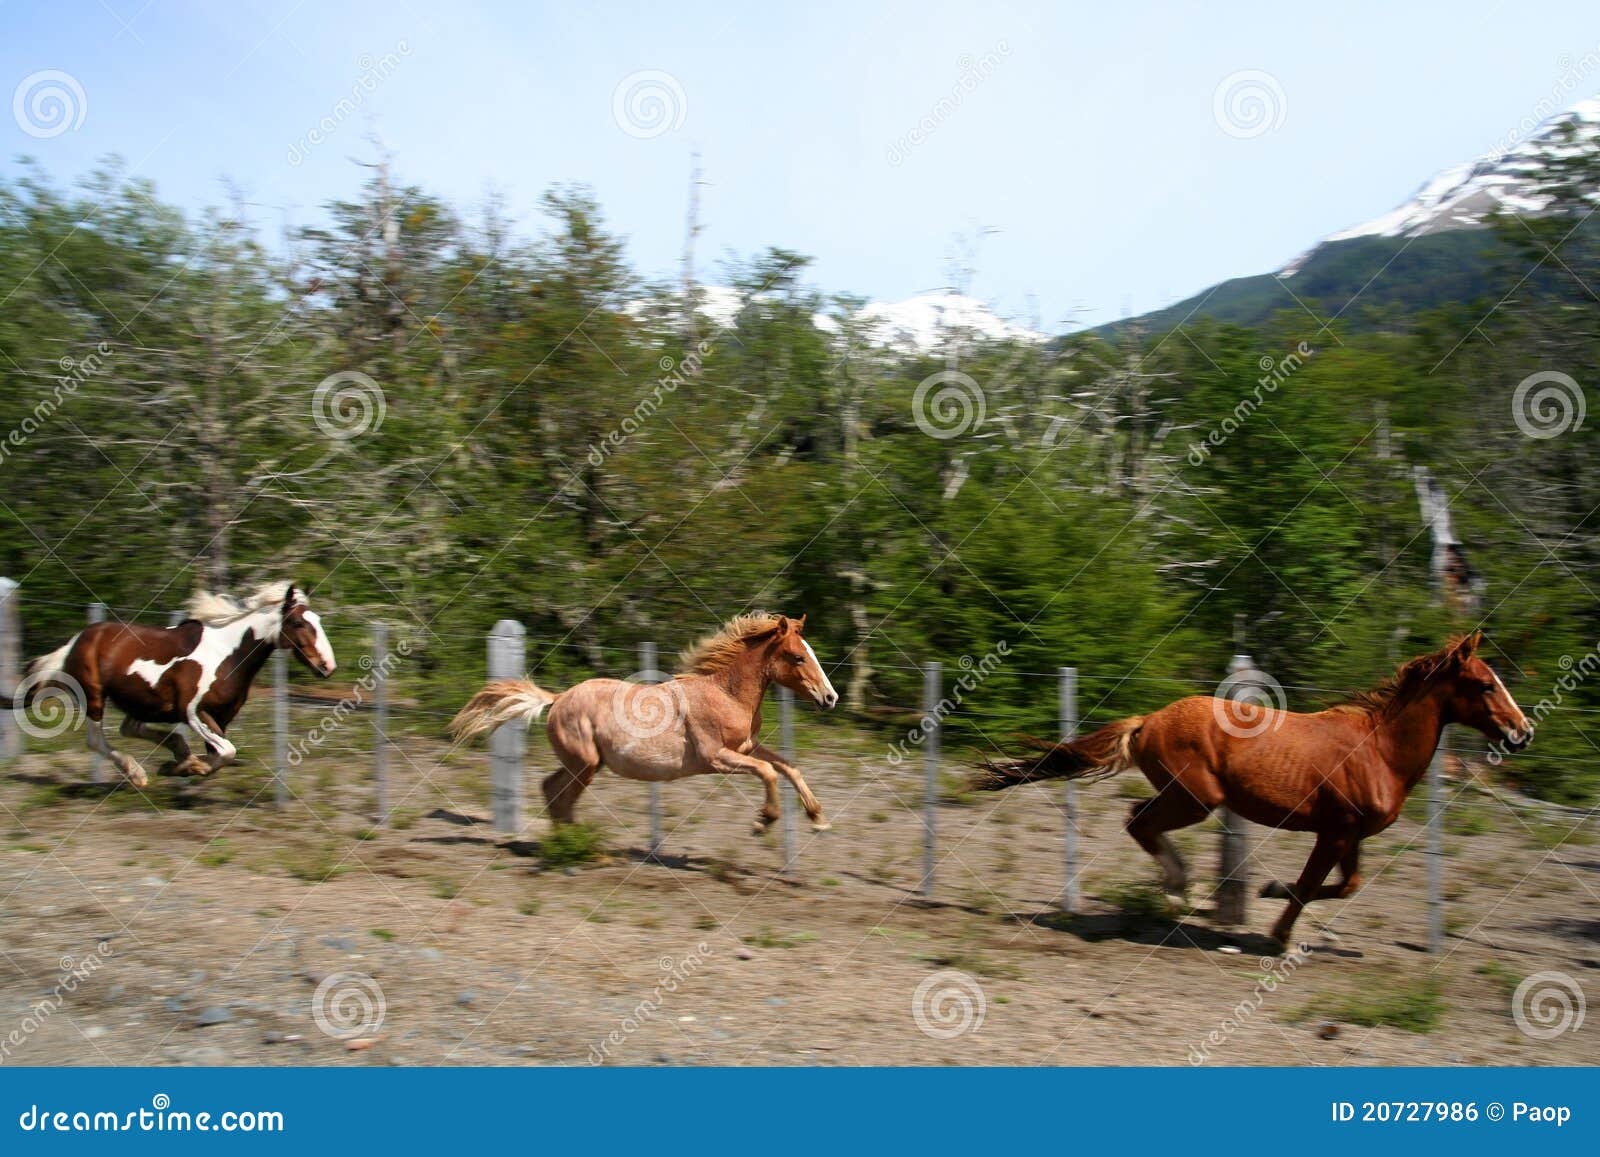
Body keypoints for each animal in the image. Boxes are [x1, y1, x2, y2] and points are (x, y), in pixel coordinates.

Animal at [3, 583, 336, 787]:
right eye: (299, 623)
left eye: (319, 620)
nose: (327, 665)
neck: (226, 653)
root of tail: (75, 641)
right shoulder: (193, 712)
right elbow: (227, 751)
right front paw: (187, 766)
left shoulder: (223, 716)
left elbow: (221, 754)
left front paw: (183, 765)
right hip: (95, 696)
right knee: (97, 739)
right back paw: (137, 773)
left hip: (141, 700)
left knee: (130, 728)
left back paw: (176, 750)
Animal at [450, 612, 838, 835]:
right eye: (798, 656)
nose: (830, 697)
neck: (724, 695)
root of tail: (557, 698)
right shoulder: (716, 757)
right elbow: (769, 772)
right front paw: (764, 821)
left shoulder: (747, 747)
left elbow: (788, 767)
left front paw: (818, 818)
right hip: (586, 763)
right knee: (559, 795)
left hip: (588, 764)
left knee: (552, 791)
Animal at [974, 633, 1530, 945]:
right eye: (1485, 684)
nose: (1522, 731)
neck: (1379, 750)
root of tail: (1148, 719)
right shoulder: (1333, 831)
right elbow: (1309, 884)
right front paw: (1278, 934)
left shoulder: (1350, 835)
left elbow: (1345, 885)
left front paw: (1270, 892)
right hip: (1197, 799)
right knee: (1137, 819)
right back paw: (1177, 891)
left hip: (1187, 798)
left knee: (1138, 818)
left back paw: (1180, 892)